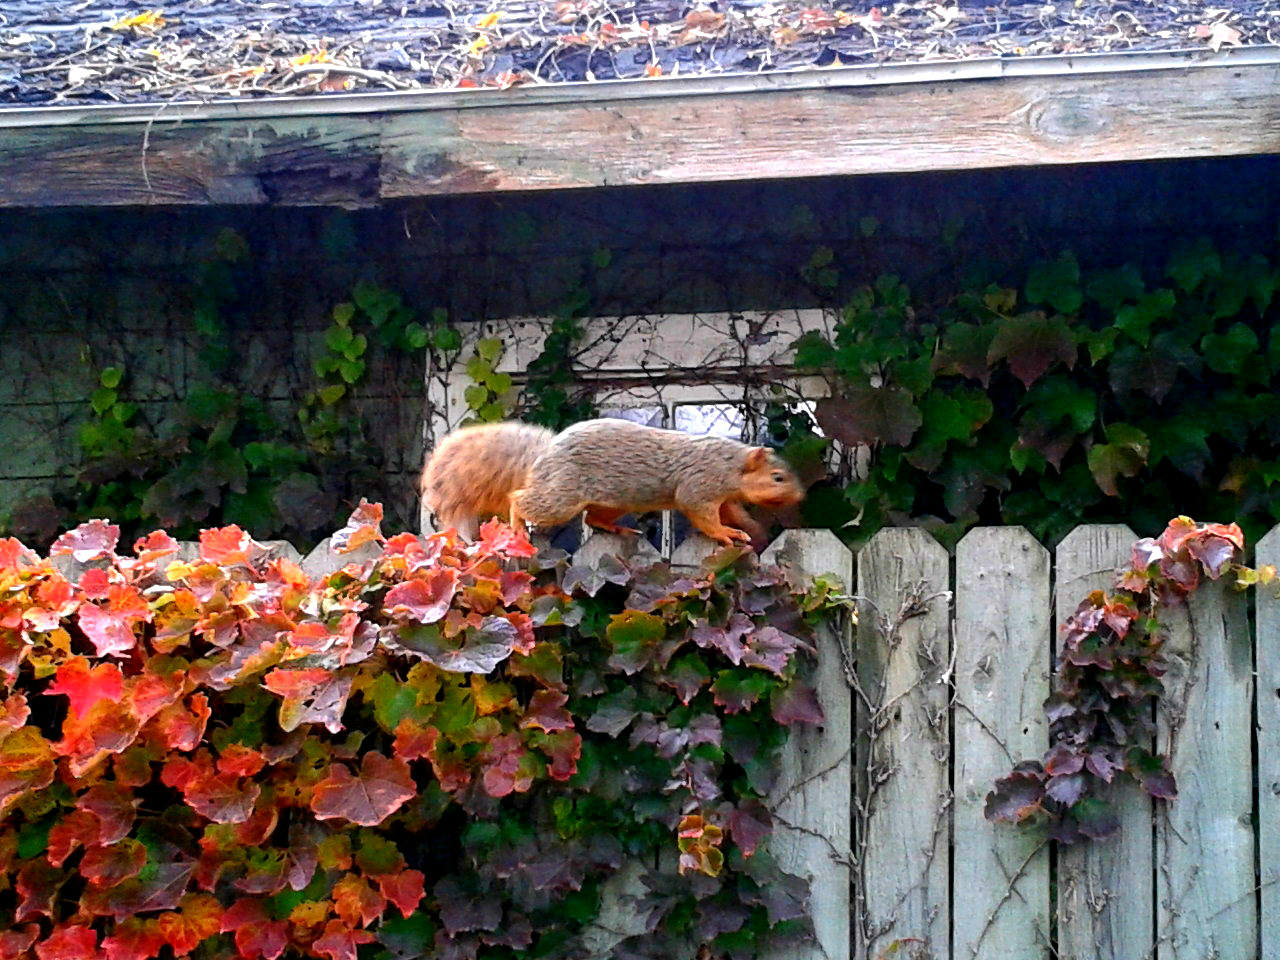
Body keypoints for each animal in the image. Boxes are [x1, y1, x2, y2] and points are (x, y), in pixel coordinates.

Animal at [421, 419, 804, 546]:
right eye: (777, 477)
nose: (800, 496)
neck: (730, 465)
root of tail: (546, 454)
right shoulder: (699, 485)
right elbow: (703, 516)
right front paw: (726, 534)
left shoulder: (725, 496)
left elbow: (733, 512)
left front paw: (749, 528)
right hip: (563, 494)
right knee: (521, 499)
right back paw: (517, 525)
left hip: (612, 502)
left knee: (594, 518)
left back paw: (620, 529)